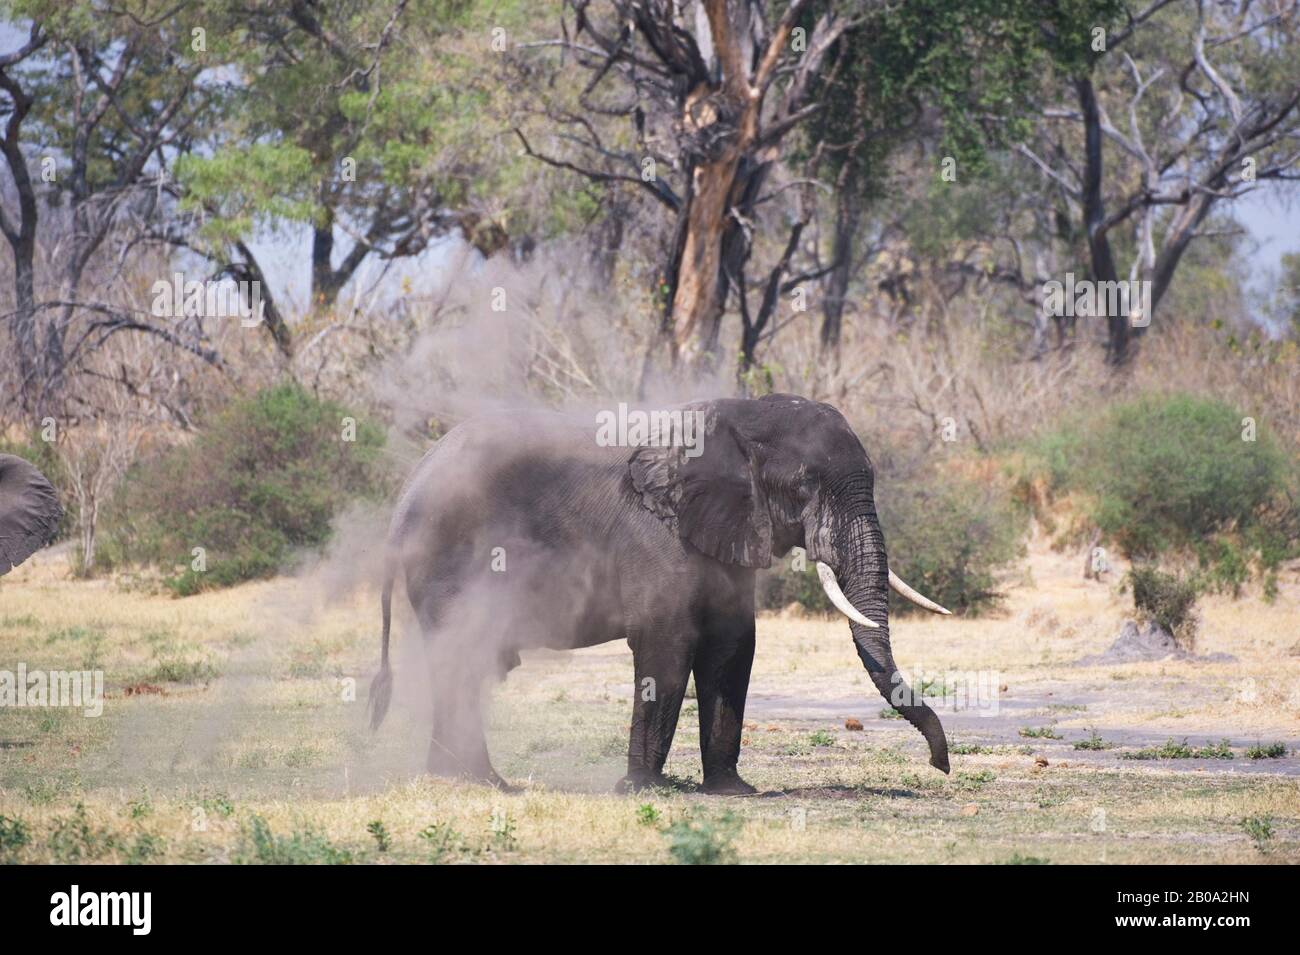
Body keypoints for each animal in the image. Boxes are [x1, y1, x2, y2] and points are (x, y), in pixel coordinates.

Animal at [369, 394, 952, 794]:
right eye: (805, 485)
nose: (940, 765)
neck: (736, 416)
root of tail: (405, 491)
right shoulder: (655, 537)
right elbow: (667, 646)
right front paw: (644, 790)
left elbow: (732, 650)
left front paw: (732, 792)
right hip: (447, 557)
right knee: (461, 659)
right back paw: (479, 783)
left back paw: (467, 780)